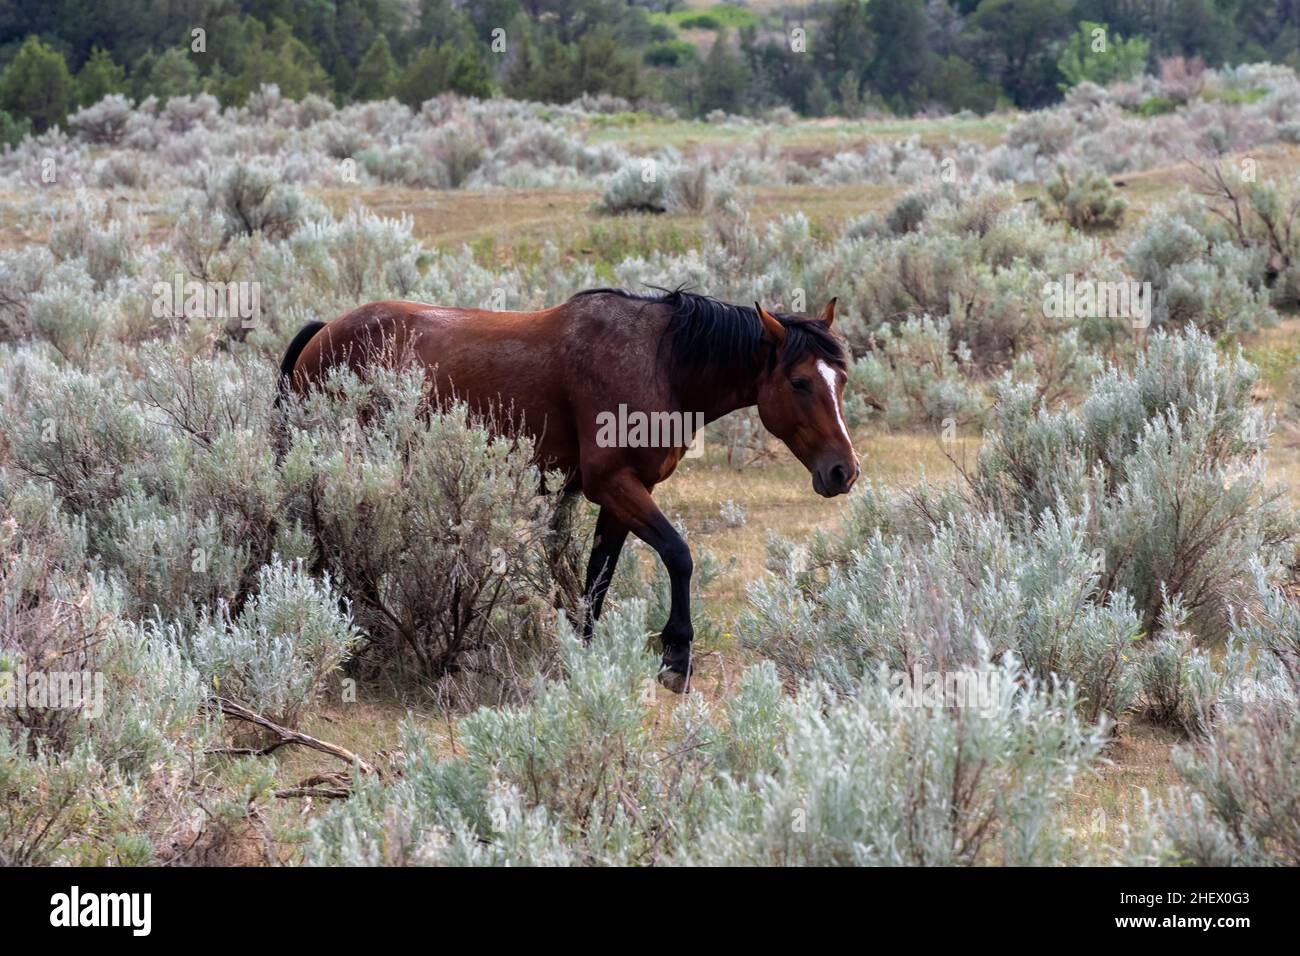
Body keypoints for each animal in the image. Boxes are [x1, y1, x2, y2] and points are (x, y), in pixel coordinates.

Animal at [277, 288, 859, 693]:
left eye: (842, 379)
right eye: (800, 382)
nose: (844, 472)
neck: (659, 363)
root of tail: (325, 332)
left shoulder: (622, 495)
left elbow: (597, 578)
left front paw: (583, 652)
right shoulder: (615, 484)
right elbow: (679, 555)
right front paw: (676, 658)